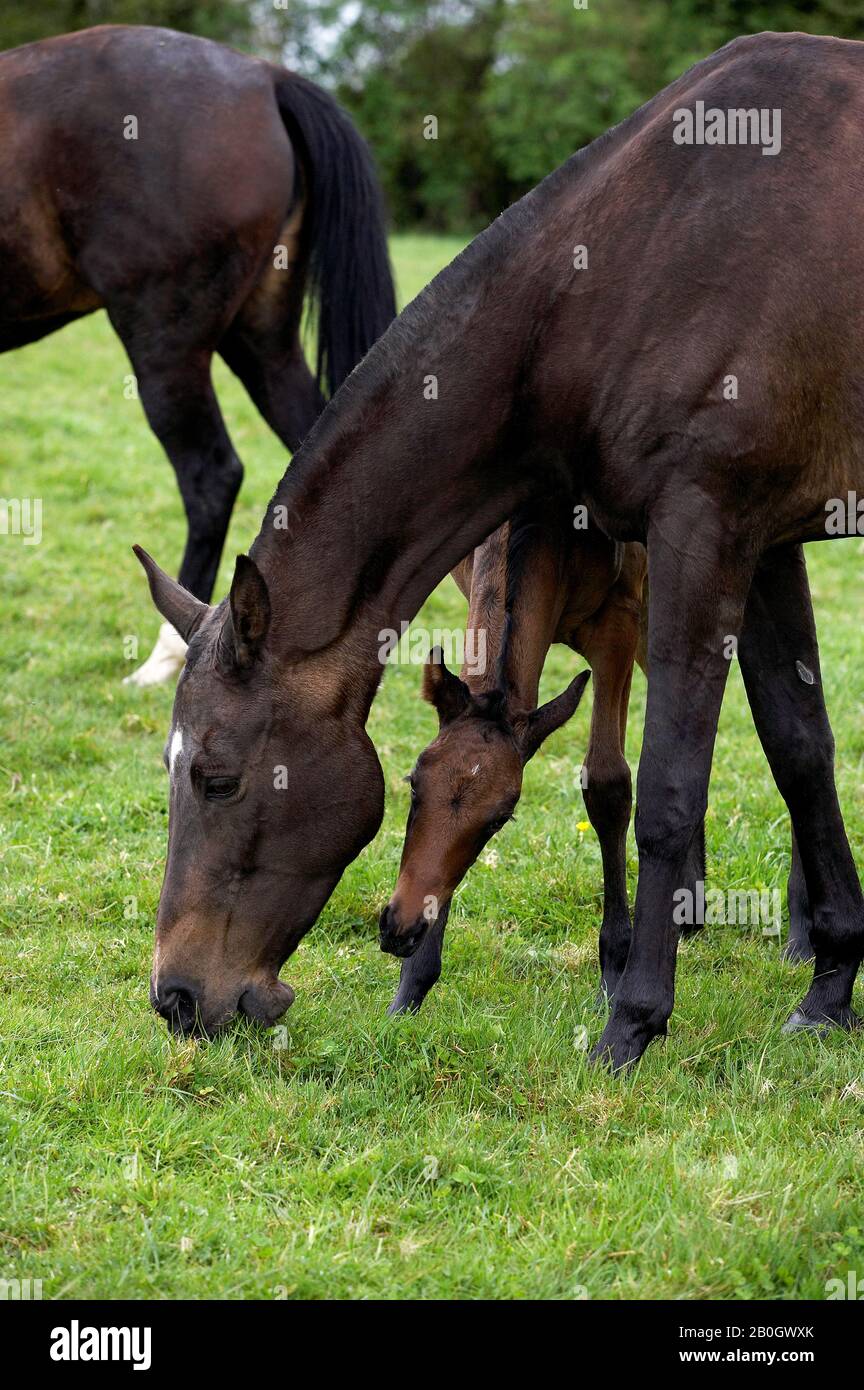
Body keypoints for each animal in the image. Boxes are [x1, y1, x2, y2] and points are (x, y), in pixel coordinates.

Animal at [135, 32, 861, 1068]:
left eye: (218, 778)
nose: (179, 998)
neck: (622, 278)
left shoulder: (706, 529)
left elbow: (666, 788)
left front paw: (636, 1018)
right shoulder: (760, 542)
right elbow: (800, 747)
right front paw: (833, 981)